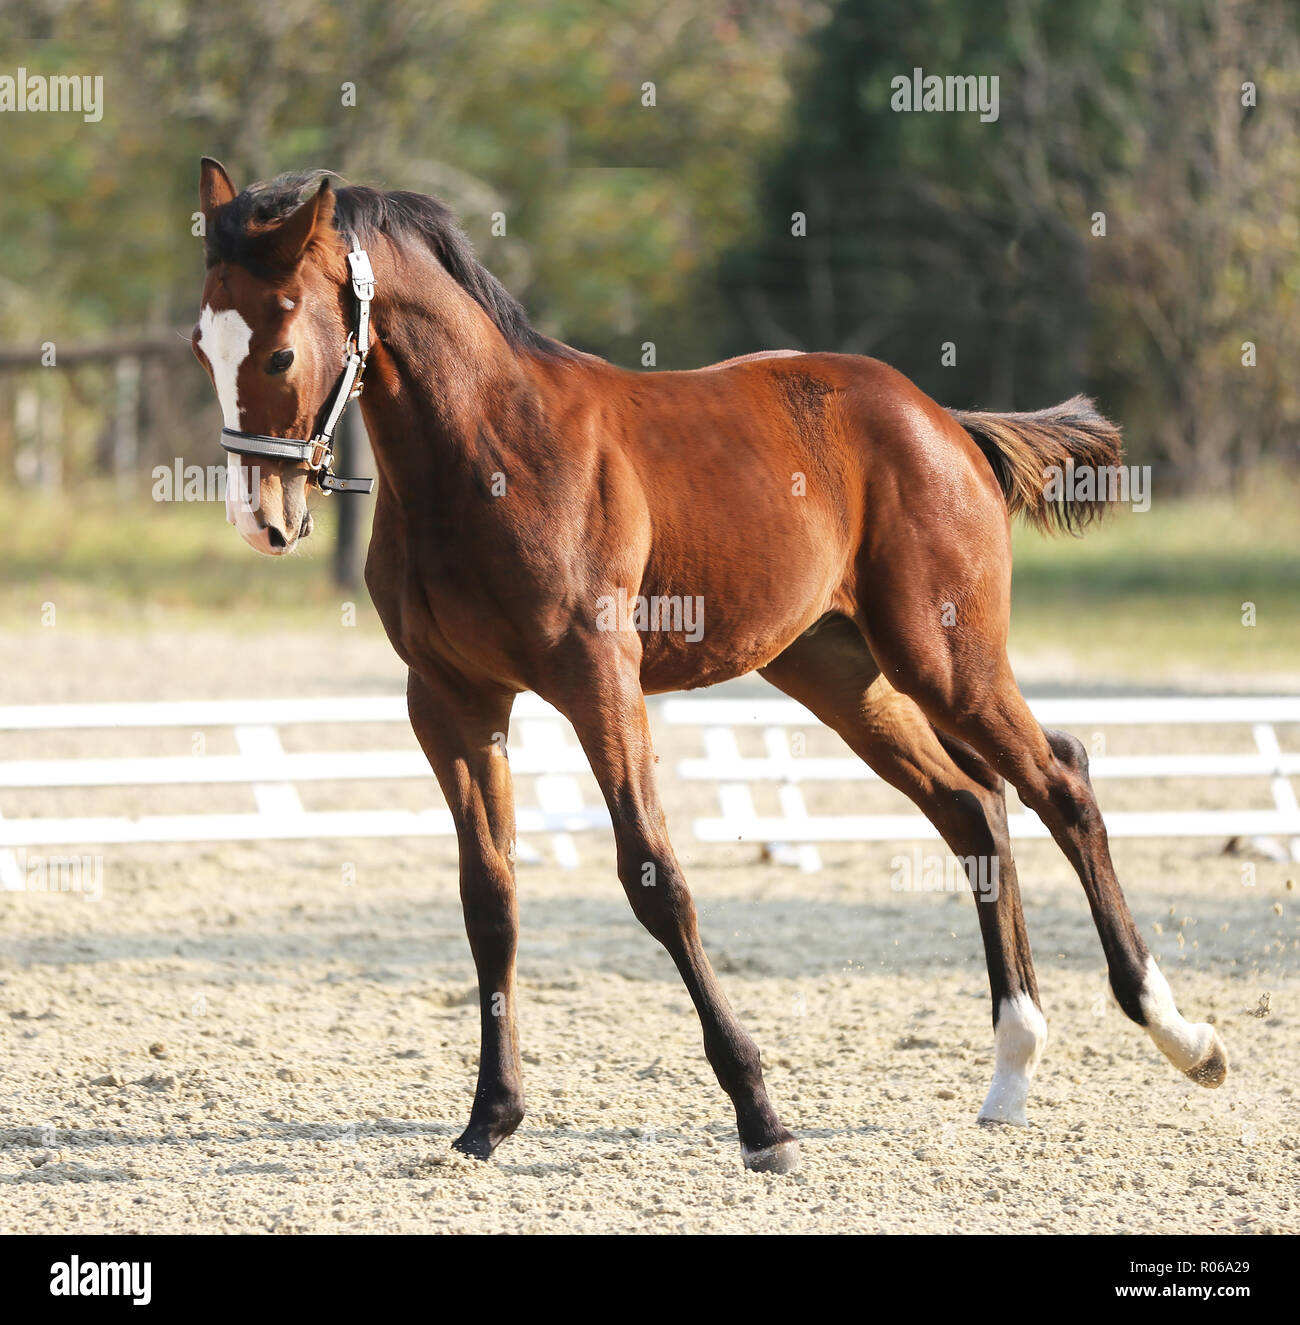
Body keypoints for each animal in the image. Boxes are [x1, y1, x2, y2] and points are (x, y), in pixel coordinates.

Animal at [191, 159, 1227, 1174]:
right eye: (204, 346)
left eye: (279, 352)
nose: (264, 522)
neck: (483, 453)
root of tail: (940, 416)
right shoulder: (451, 701)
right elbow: (489, 898)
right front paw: (490, 1117)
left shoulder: (597, 683)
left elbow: (655, 877)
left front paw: (761, 1116)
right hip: (841, 673)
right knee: (973, 807)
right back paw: (1011, 1072)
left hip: (944, 657)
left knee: (1062, 780)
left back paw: (1181, 1036)